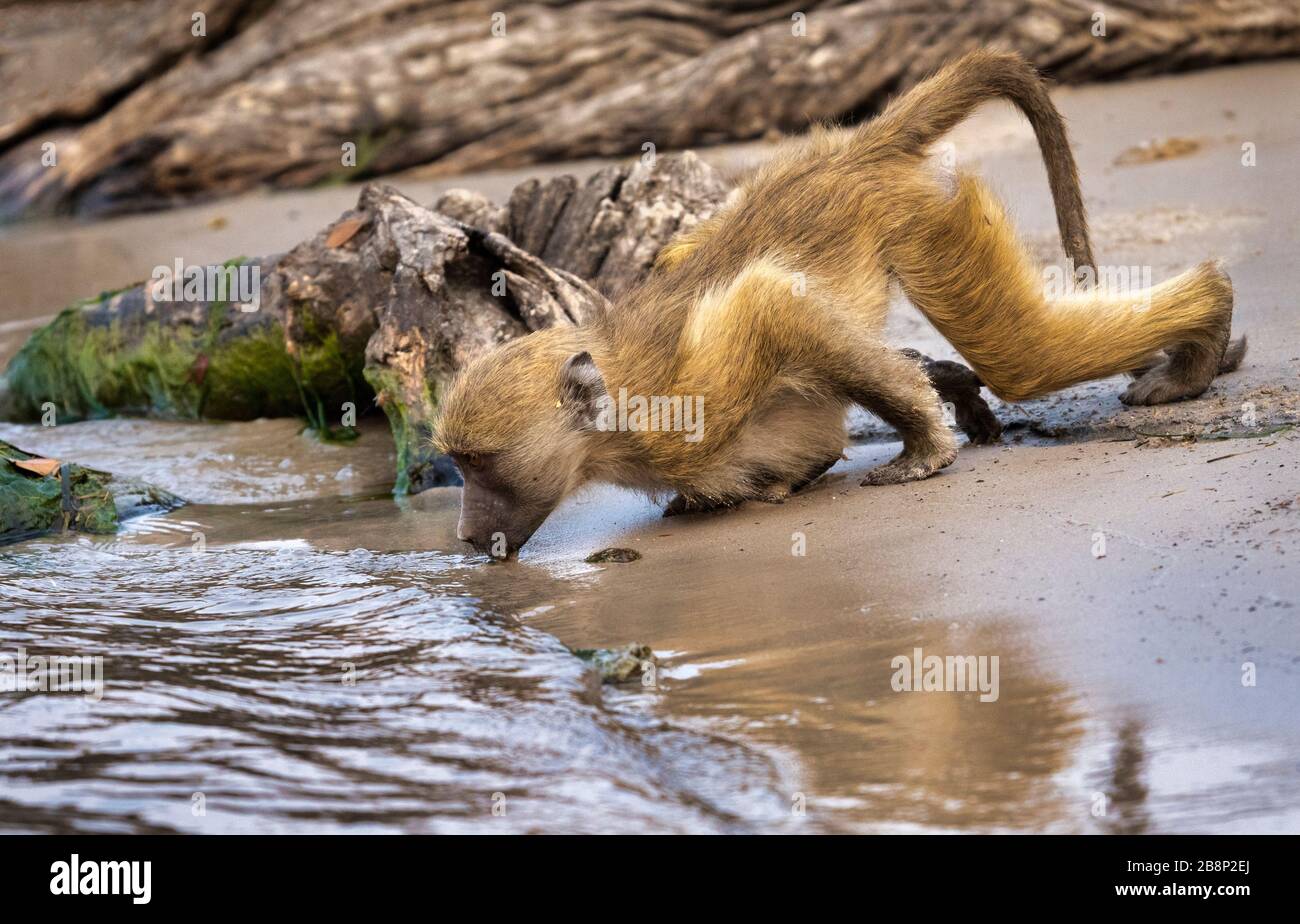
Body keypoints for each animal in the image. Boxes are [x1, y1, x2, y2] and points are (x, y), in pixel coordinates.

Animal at [434, 49, 1244, 557]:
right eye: (460, 465)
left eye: (482, 464)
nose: (467, 537)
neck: (611, 429)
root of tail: (848, 152)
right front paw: (937, 395)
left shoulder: (685, 406)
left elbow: (774, 302)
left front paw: (925, 446)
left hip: (921, 215)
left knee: (1022, 358)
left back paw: (1206, 325)